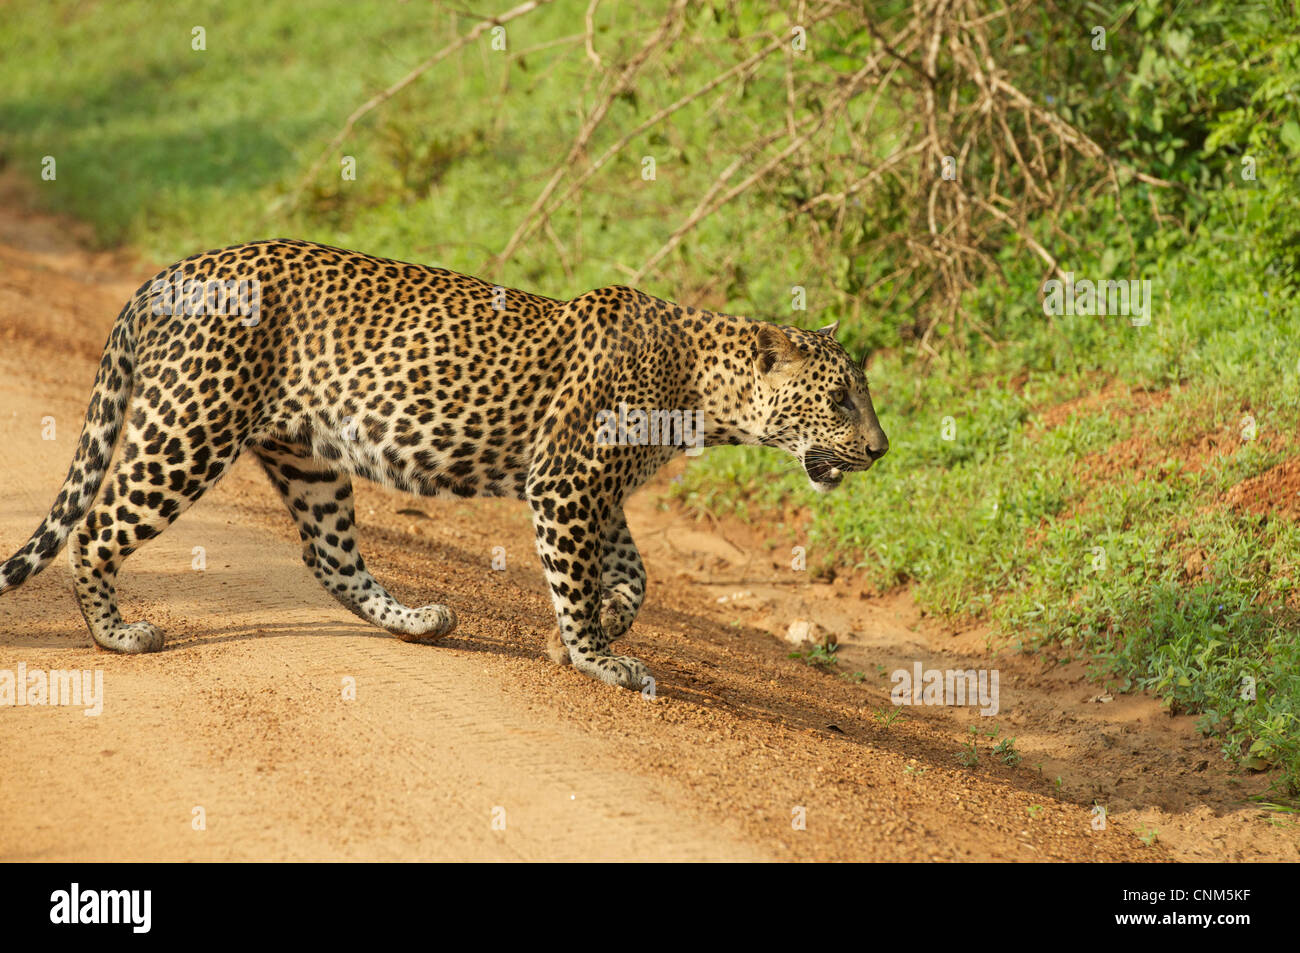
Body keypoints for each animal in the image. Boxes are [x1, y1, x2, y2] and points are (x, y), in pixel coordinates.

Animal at [0, 239, 888, 689]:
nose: (882, 448)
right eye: (842, 399)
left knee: (329, 556)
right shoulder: (567, 482)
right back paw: (116, 635)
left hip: (306, 456)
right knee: (98, 527)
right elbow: (576, 578)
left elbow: (633, 573)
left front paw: (603, 626)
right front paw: (595, 656)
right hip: (189, 428)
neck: (700, 387)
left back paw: (418, 620)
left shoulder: (599, 492)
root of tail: (166, 275)